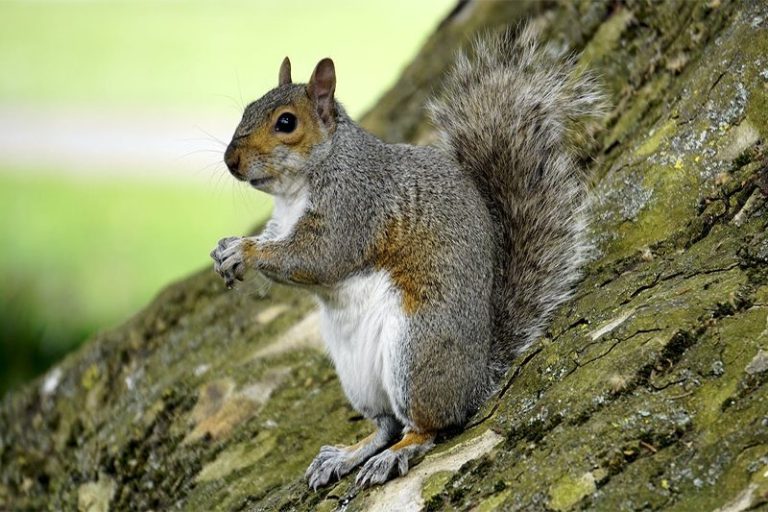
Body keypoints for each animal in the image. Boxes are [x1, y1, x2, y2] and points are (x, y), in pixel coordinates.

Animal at [211, 25, 604, 489]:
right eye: (248, 108)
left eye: (286, 122)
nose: (230, 160)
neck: (299, 186)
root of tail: (477, 379)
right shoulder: (284, 222)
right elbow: (278, 241)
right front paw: (226, 248)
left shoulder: (354, 209)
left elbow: (316, 258)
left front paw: (246, 251)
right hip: (359, 377)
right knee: (386, 424)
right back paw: (348, 454)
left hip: (415, 353)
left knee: (427, 426)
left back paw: (396, 454)